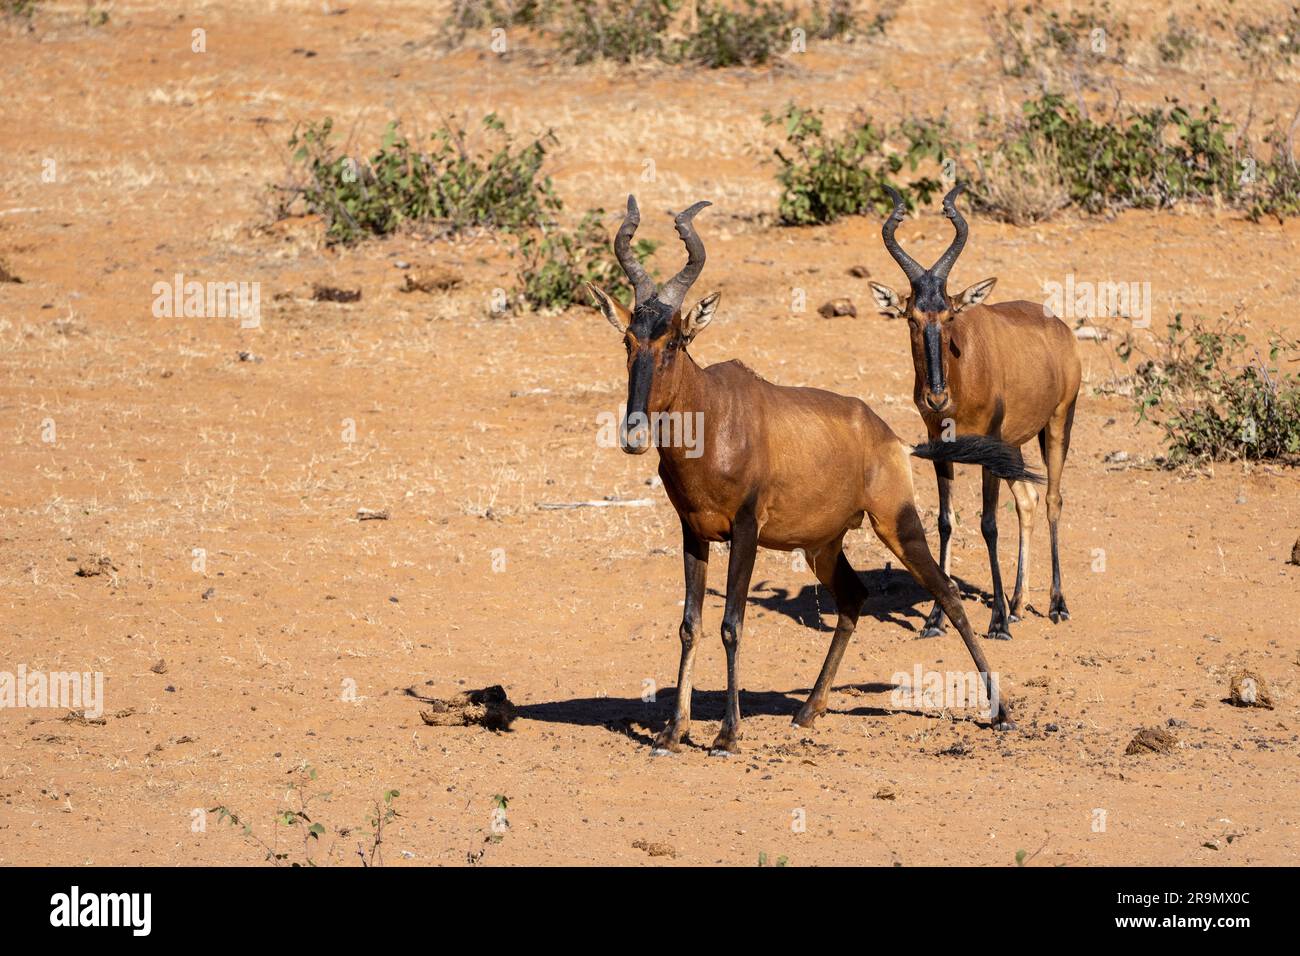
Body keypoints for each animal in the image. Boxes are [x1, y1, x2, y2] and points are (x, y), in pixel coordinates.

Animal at [587, 195, 1039, 754]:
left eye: (675, 340)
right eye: (629, 339)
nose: (632, 435)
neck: (715, 411)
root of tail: (892, 438)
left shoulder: (745, 531)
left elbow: (732, 623)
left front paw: (727, 734)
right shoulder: (693, 532)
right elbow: (690, 624)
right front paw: (673, 732)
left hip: (897, 523)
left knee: (948, 593)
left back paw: (1001, 713)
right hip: (822, 546)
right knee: (853, 598)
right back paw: (807, 710)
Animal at [869, 184, 1082, 641]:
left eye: (949, 313)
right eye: (910, 316)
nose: (936, 398)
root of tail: (1060, 327)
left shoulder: (987, 444)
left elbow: (988, 524)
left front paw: (996, 622)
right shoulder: (941, 445)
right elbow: (946, 521)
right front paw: (935, 619)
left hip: (1058, 422)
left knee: (1052, 498)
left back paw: (1055, 605)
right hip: (1012, 446)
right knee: (1027, 499)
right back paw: (1018, 604)